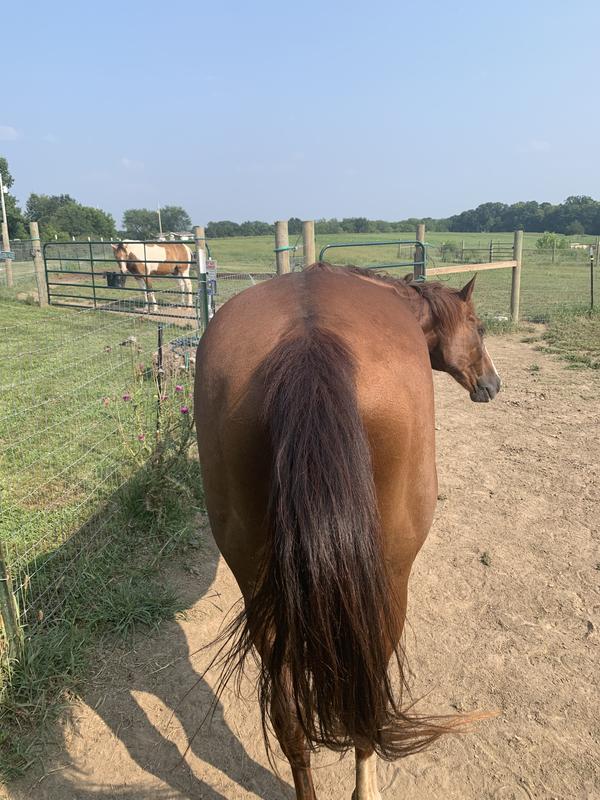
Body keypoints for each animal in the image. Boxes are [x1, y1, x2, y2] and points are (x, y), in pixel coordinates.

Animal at [193, 262, 501, 800]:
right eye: (479, 328)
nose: (493, 383)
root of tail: (307, 346)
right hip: (388, 584)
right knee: (366, 697)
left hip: (260, 592)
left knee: (290, 718)